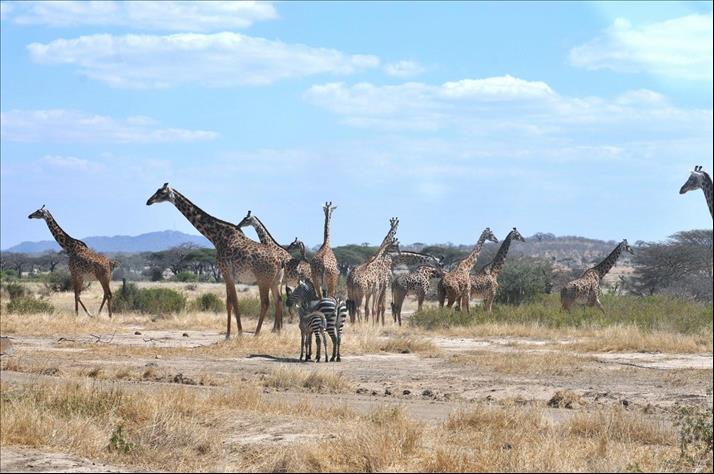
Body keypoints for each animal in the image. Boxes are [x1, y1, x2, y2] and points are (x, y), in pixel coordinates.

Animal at [146, 184, 284, 337]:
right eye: (157, 190)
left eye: (161, 192)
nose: (148, 201)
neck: (216, 236)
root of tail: (280, 261)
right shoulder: (227, 274)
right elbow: (229, 302)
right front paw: (228, 334)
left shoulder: (225, 271)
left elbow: (234, 301)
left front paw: (239, 333)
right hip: (275, 281)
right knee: (278, 300)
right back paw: (276, 332)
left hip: (263, 280)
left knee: (265, 302)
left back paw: (256, 334)